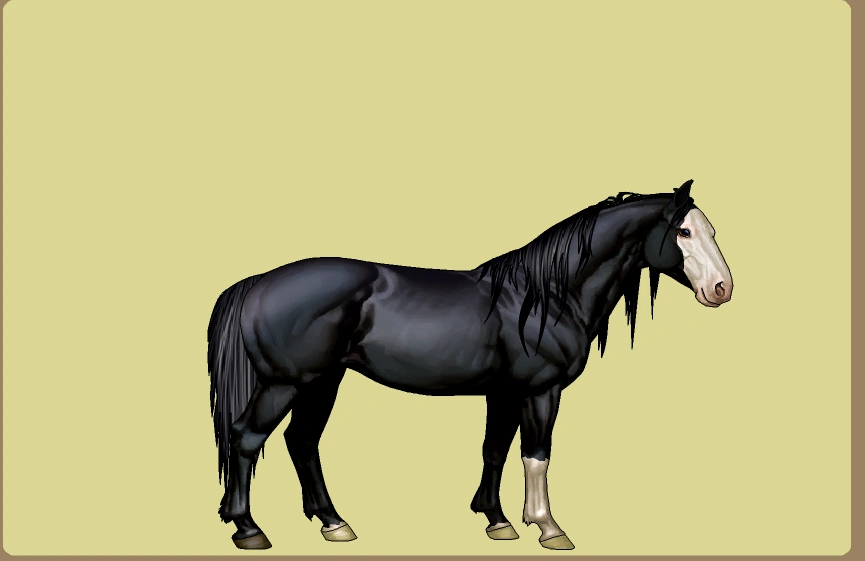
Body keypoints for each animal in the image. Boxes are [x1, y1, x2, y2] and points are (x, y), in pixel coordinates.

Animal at [205, 179, 733, 551]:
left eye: (709, 230)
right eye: (684, 231)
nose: (722, 289)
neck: (543, 296)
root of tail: (258, 282)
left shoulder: (503, 391)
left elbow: (495, 450)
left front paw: (496, 521)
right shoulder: (540, 391)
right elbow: (536, 454)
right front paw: (548, 527)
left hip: (321, 382)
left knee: (302, 442)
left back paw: (334, 523)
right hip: (285, 383)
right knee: (247, 438)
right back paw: (249, 529)